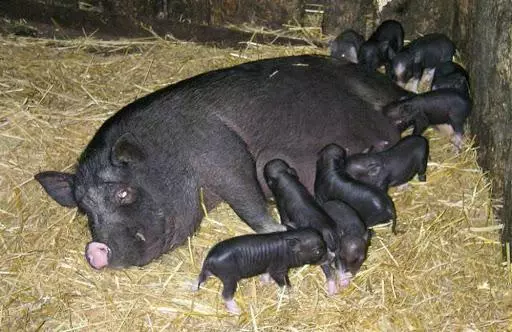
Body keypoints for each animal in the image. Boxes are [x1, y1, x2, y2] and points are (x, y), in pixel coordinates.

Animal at [34, 54, 406, 268]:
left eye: (124, 193)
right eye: (85, 211)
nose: (97, 250)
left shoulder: (223, 148)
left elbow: (245, 198)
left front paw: (277, 231)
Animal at [197, 228, 328, 314]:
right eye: (317, 251)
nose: (329, 258)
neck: (287, 250)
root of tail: (209, 259)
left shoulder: (269, 266)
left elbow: (266, 274)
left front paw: (265, 282)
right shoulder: (278, 268)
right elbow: (282, 282)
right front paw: (290, 291)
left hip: (211, 272)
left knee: (201, 277)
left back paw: (194, 288)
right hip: (229, 277)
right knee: (225, 294)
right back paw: (236, 311)